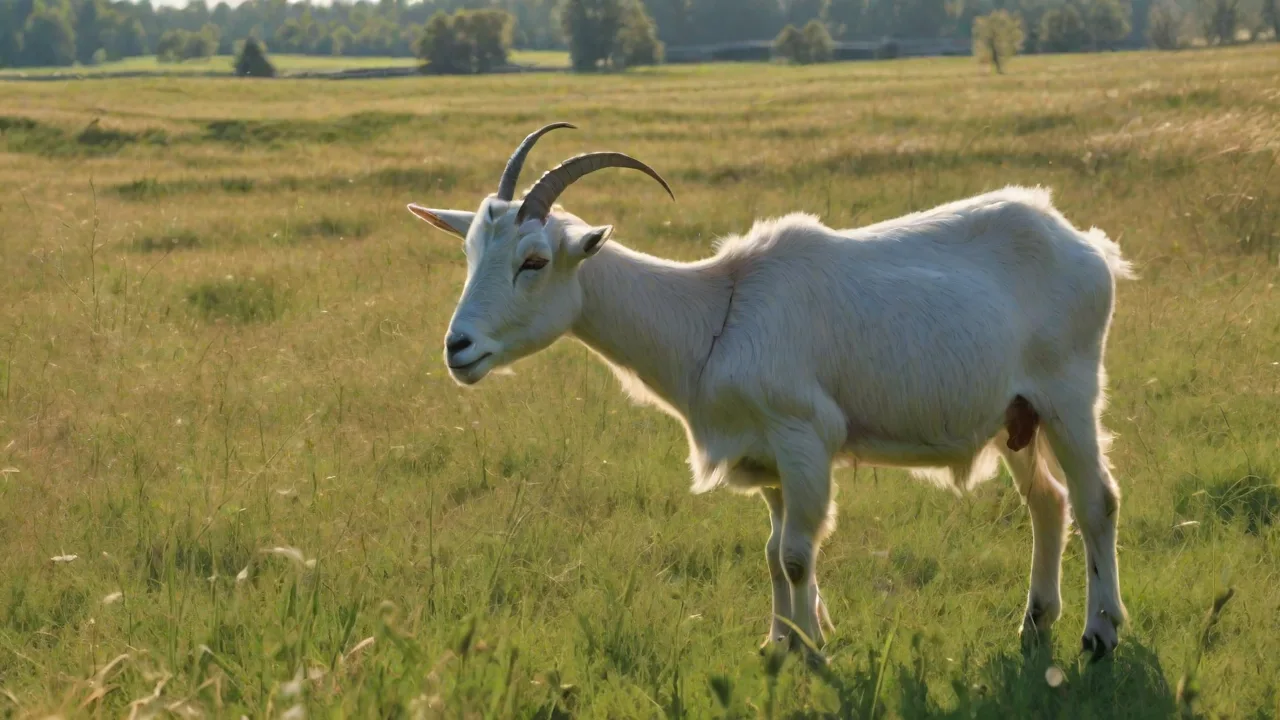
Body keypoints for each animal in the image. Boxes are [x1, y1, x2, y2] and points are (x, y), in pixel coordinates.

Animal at [407, 123, 1135, 664]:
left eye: (533, 260)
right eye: (469, 253)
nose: (458, 348)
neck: (714, 313)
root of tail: (1088, 246)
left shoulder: (803, 435)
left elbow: (794, 553)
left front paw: (813, 650)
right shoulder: (766, 455)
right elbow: (772, 554)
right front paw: (780, 644)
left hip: (1069, 393)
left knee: (1096, 500)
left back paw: (1099, 634)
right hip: (1018, 414)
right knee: (1048, 500)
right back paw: (1035, 621)